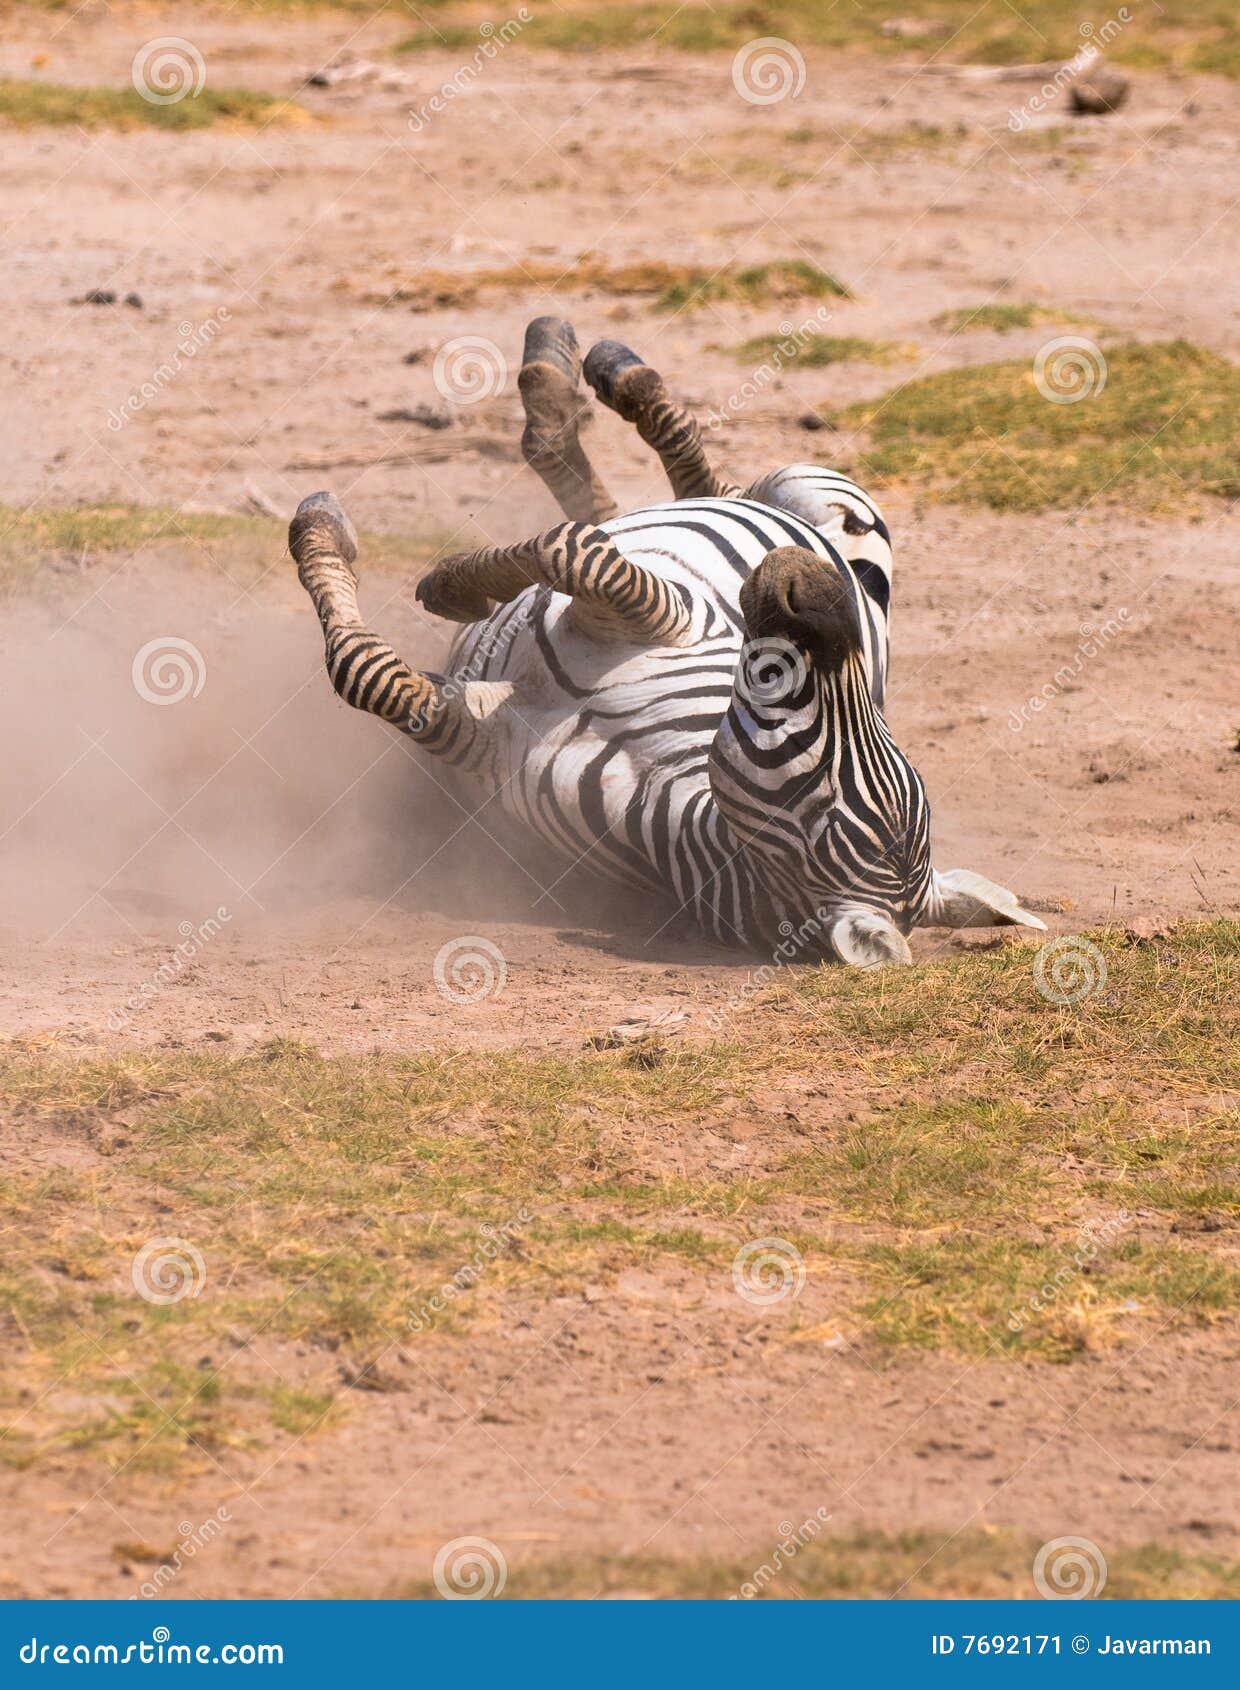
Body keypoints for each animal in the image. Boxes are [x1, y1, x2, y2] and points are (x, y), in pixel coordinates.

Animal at [289, 316, 1044, 967]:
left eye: (828, 779)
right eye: (884, 747)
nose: (812, 576)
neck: (649, 770)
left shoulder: (488, 730)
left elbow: (564, 556)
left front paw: (435, 577)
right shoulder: (676, 622)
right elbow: (580, 548)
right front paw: (464, 581)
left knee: (622, 506)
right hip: (813, 489)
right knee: (685, 489)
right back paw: (586, 373)